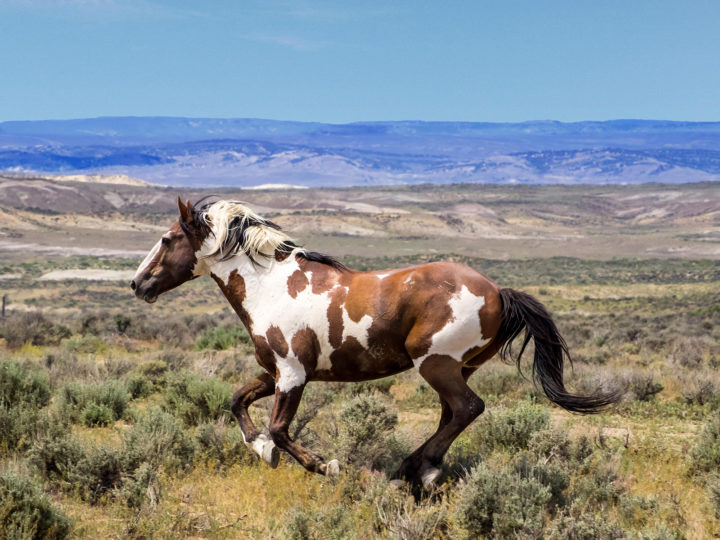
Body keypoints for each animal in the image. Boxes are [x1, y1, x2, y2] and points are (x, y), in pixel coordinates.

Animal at [131, 197, 616, 487]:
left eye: (167, 239)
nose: (137, 284)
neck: (270, 287)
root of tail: (498, 291)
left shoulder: (293, 375)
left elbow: (280, 429)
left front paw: (324, 465)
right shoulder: (274, 373)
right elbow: (237, 402)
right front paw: (261, 451)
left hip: (435, 363)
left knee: (467, 408)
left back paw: (417, 470)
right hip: (459, 367)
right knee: (452, 413)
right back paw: (418, 469)